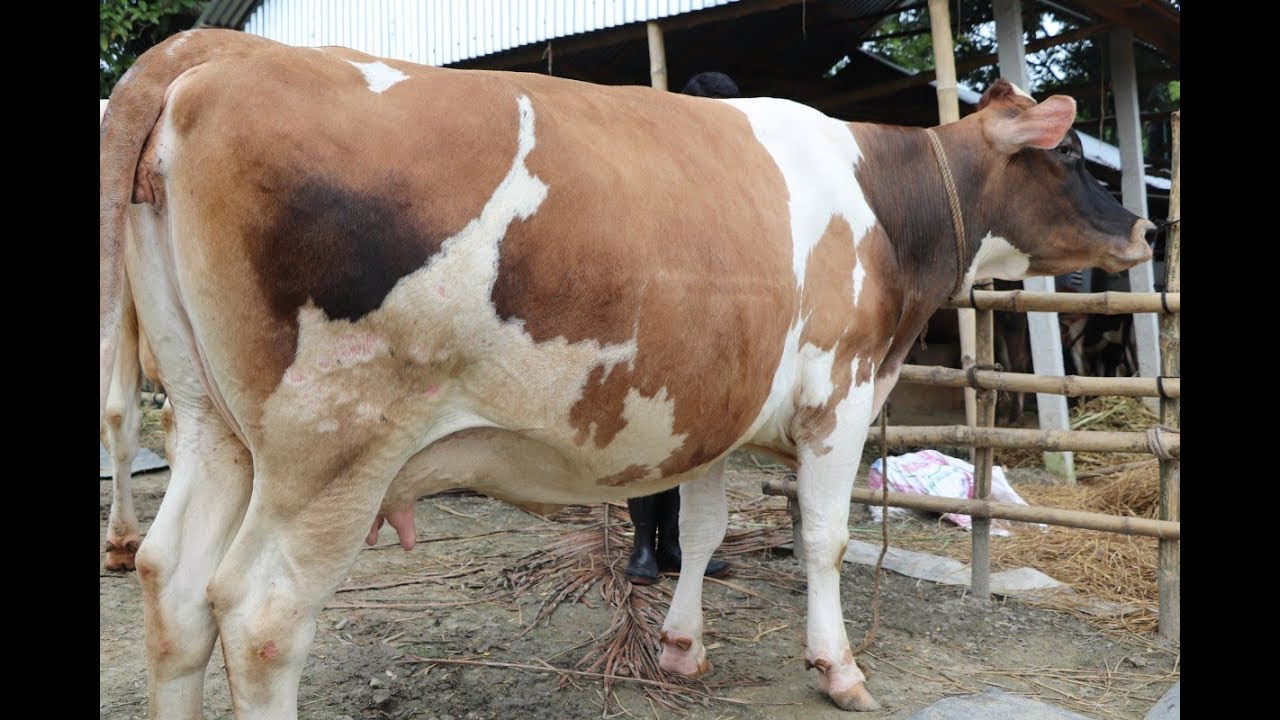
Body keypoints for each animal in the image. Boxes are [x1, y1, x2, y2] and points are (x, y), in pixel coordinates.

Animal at [100, 29, 1154, 717]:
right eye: (1069, 158)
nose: (1146, 226)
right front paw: (839, 669)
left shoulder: (713, 403)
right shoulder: (843, 392)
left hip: (212, 424)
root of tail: (209, 60)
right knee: (260, 617)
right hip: (330, 447)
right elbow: (822, 539)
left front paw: (682, 649)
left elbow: (704, 525)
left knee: (173, 584)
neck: (887, 204)